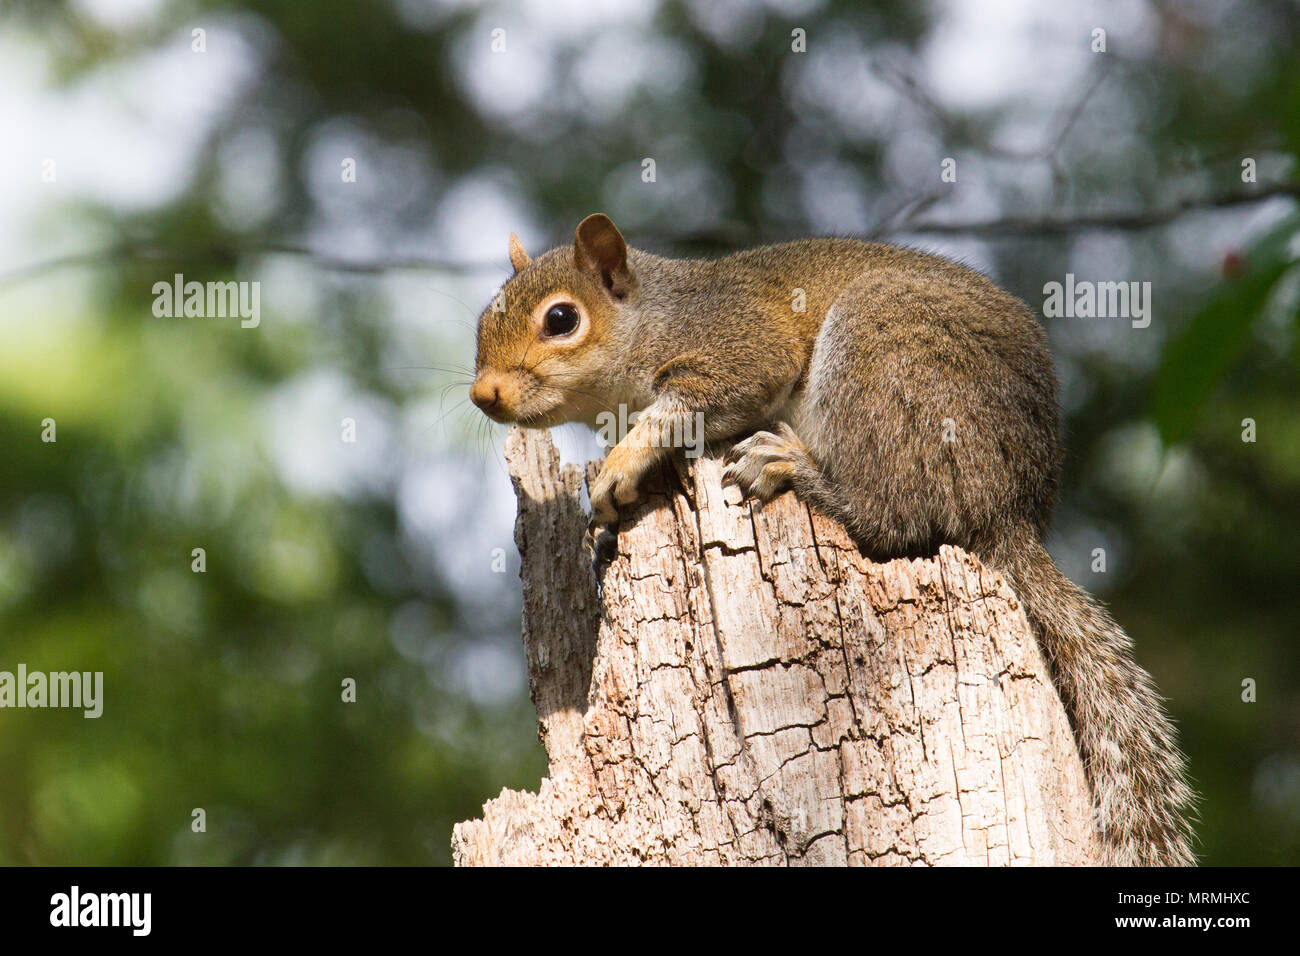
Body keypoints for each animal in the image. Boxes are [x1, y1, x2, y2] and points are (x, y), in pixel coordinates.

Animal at [470, 213, 1196, 867]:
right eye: (481, 325)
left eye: (561, 320)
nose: (483, 394)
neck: (652, 317)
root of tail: (1007, 511)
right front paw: (608, 514)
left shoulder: (738, 345)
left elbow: (698, 401)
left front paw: (625, 460)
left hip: (889, 361)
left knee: (894, 513)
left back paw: (796, 467)